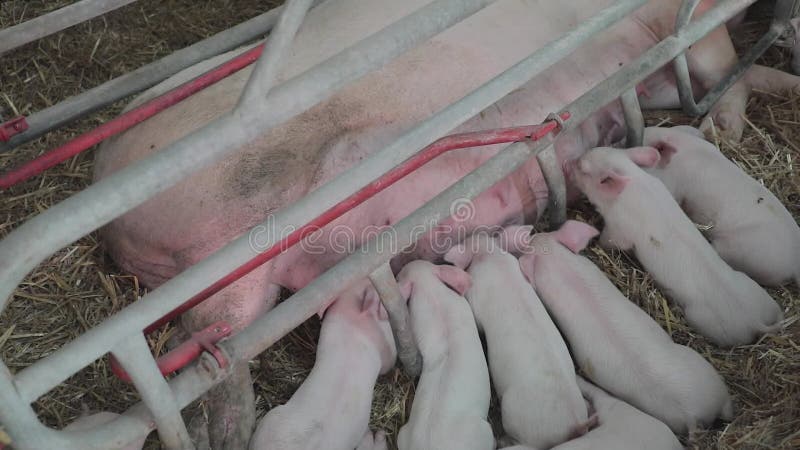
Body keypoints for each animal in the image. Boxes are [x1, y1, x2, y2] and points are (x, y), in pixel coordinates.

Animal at [571, 146, 784, 347]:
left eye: (583, 169)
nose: (573, 161)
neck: (634, 183)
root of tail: (755, 322)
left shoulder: (619, 228)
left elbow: (610, 241)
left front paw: (596, 242)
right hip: (756, 290)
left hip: (704, 321)